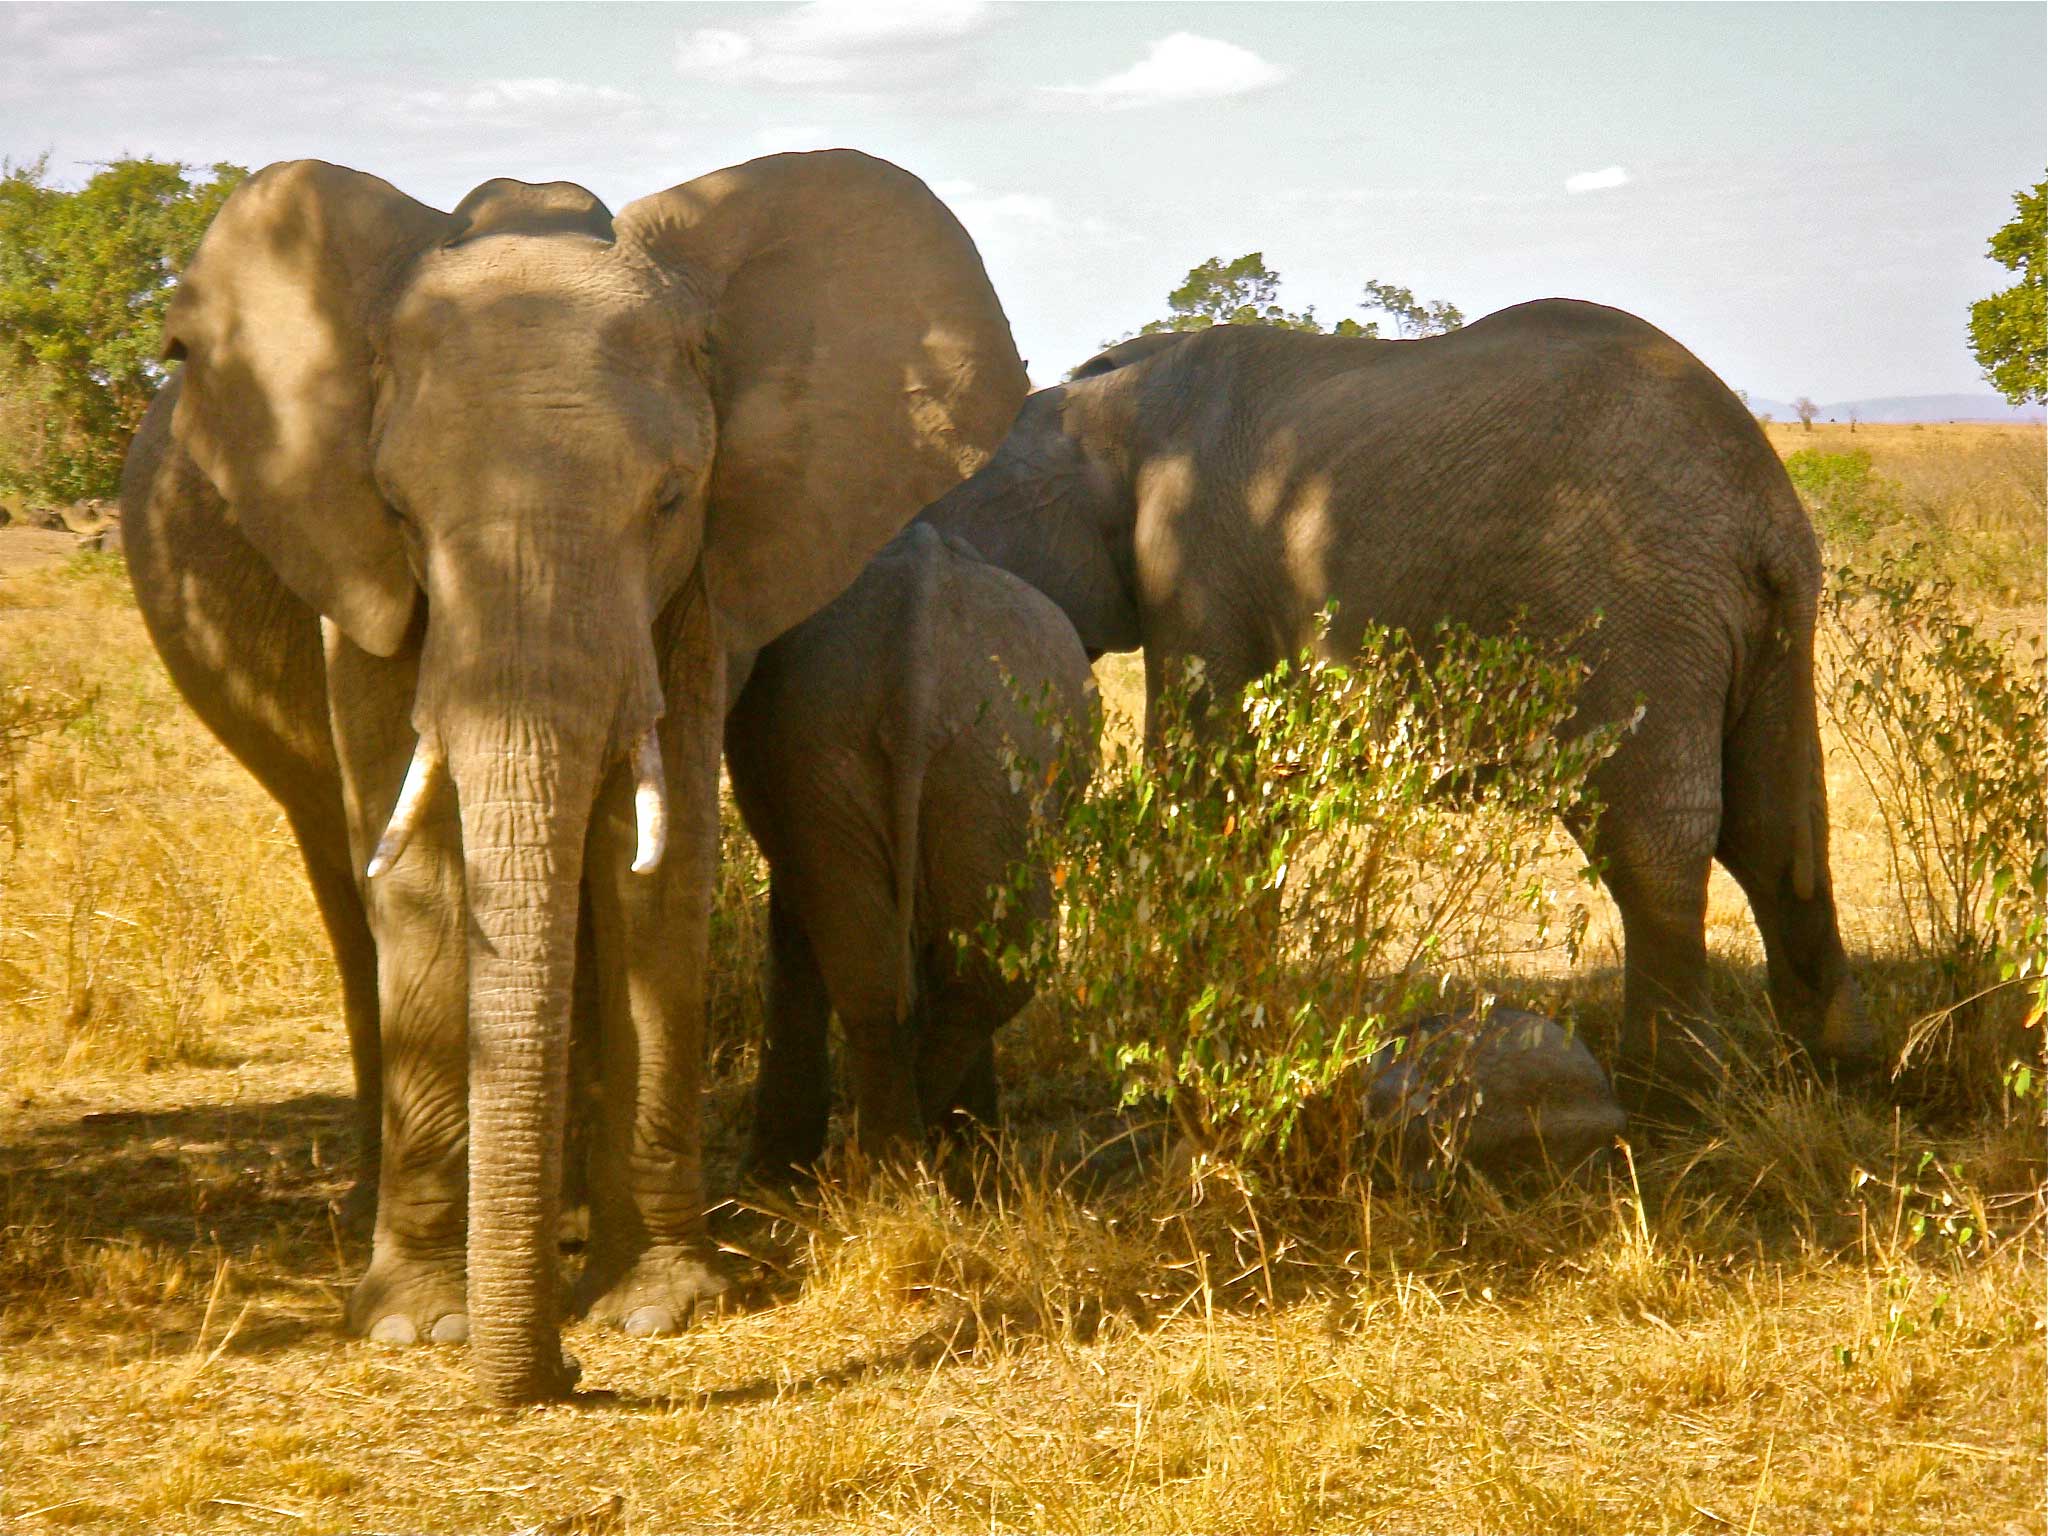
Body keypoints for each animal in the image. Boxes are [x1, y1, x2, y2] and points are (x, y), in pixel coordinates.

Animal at [119, 152, 1027, 1403]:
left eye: (670, 499)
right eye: (396, 509)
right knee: (343, 876)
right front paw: (417, 1328)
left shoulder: (702, 580)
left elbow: (661, 860)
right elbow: (421, 866)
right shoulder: (350, 562)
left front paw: (655, 1309)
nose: (558, 1375)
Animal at [726, 523, 1097, 1178]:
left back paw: (892, 1167)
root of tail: (914, 667)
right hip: (971, 759)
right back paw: (903, 1163)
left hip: (951, 760)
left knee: (900, 969)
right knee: (976, 965)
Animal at [918, 307, 1873, 1090]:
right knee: (1775, 826)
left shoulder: (1190, 557)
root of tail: (1764, 515)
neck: (1114, 394)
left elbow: (1208, 783)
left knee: (1650, 838)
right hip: (1758, 625)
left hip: (1639, 609)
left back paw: (1669, 1094)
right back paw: (1831, 1063)